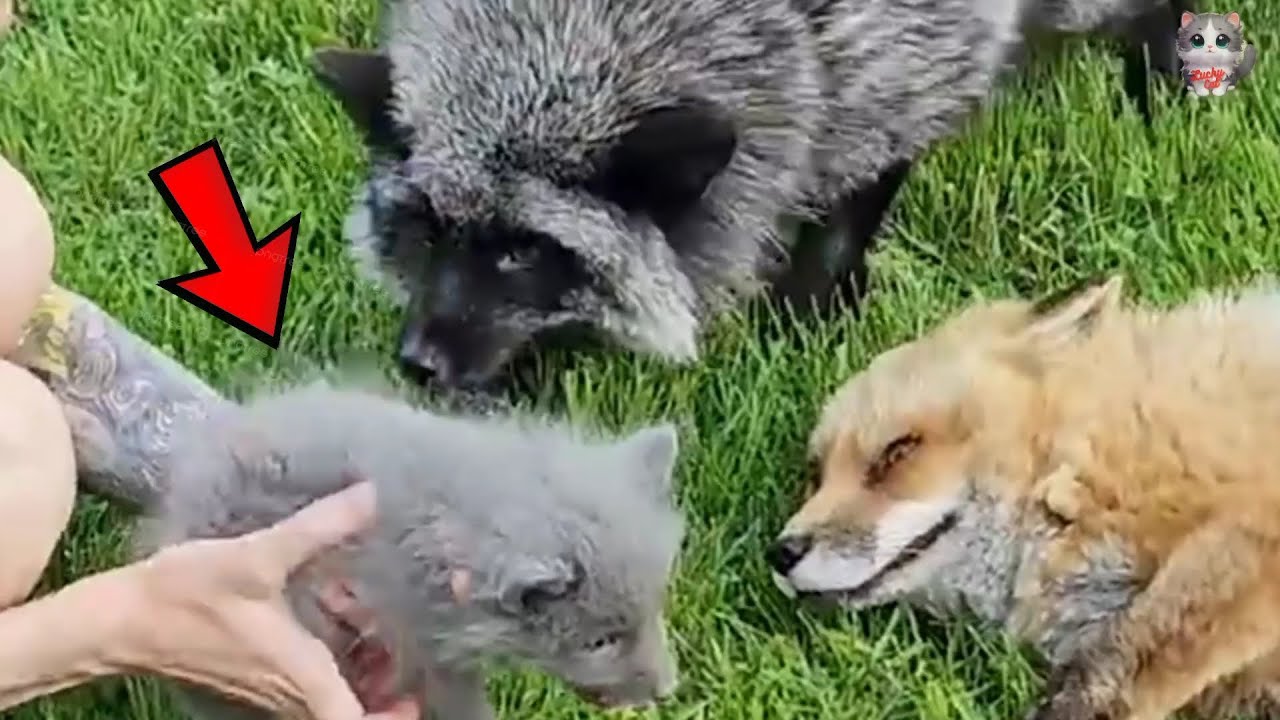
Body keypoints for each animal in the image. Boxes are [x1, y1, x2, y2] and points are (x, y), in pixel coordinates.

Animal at [311, 0, 1192, 390]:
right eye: (431, 233)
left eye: (523, 251)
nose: (416, 364)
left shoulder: (903, 68)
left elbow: (849, 206)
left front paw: (806, 318)